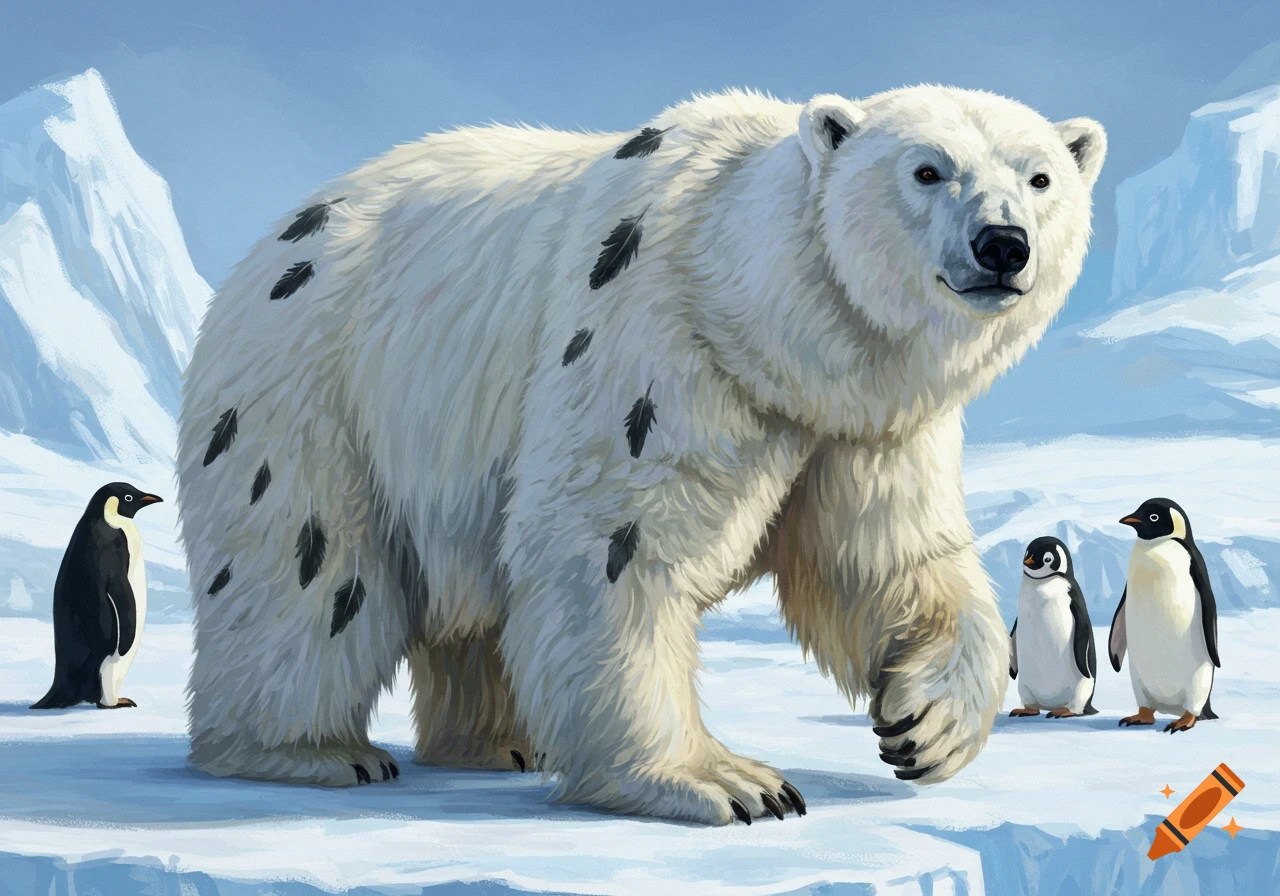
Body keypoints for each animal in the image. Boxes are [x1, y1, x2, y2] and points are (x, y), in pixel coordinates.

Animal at [177, 85, 1105, 824]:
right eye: (926, 170)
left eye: (1039, 177)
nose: (1003, 244)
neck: (766, 319)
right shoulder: (656, 344)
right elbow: (615, 544)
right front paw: (727, 782)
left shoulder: (863, 427)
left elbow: (886, 559)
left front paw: (926, 726)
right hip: (314, 393)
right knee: (312, 572)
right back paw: (311, 750)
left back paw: (502, 742)